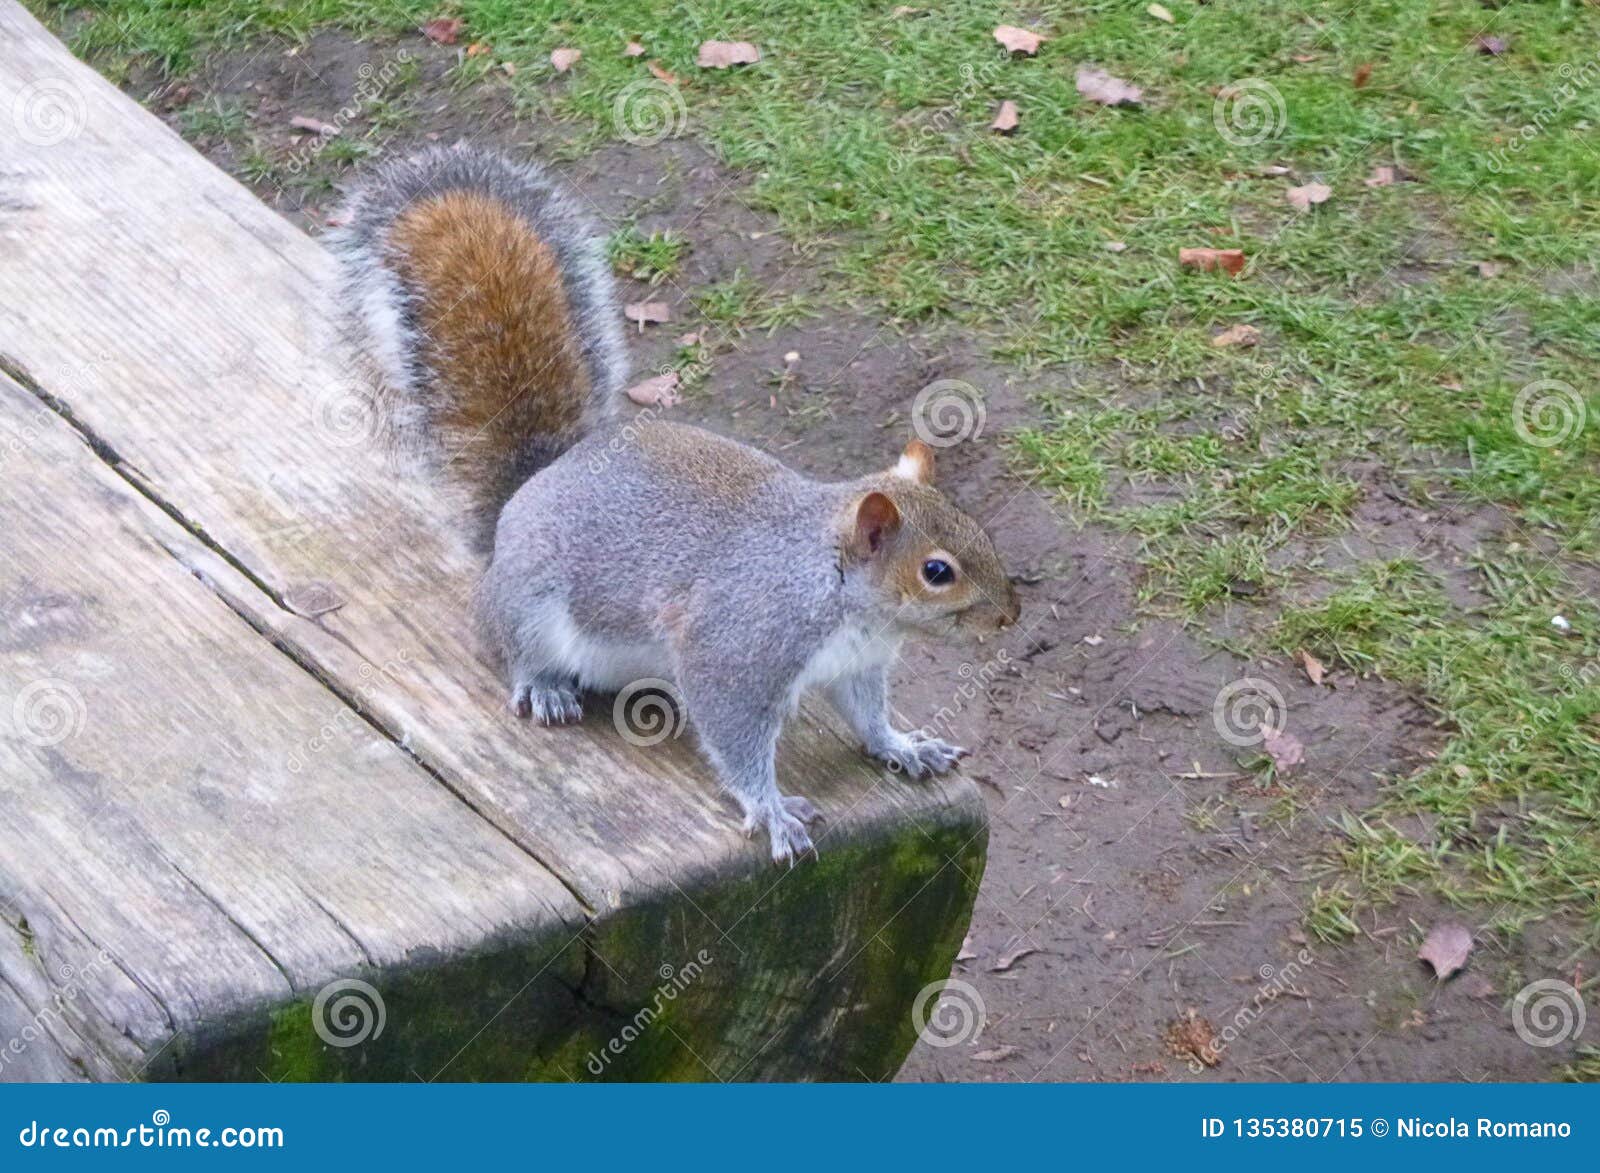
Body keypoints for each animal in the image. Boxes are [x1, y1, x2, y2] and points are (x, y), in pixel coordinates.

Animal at [332, 146, 1019, 864]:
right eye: (937, 571)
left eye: (977, 529)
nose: (1010, 615)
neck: (837, 590)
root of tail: (523, 497)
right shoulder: (737, 647)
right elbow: (737, 734)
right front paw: (772, 808)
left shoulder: (856, 666)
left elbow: (867, 714)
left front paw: (903, 746)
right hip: (528, 603)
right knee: (507, 645)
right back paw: (543, 683)